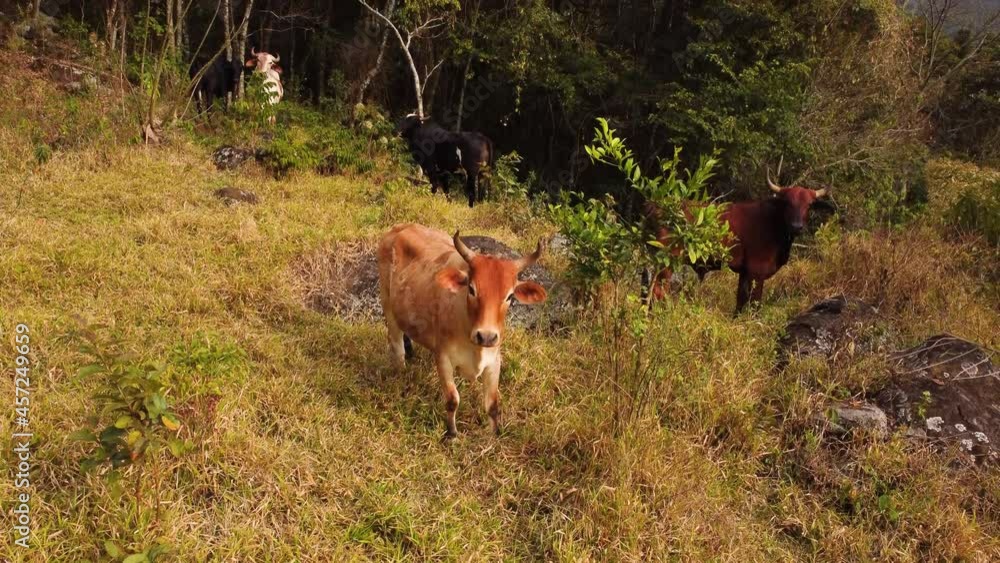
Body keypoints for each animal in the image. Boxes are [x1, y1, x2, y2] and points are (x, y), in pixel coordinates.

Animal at [377, 223, 547, 438]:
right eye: (472, 289)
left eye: (509, 296)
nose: (486, 336)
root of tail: (400, 227)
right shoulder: (443, 358)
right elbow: (452, 400)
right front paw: (451, 434)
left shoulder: (494, 361)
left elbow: (492, 404)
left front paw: (495, 435)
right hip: (388, 306)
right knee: (397, 346)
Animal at [648, 158, 829, 314]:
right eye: (787, 202)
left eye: (809, 205)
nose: (796, 226)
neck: (773, 221)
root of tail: (656, 205)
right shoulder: (757, 271)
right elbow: (755, 303)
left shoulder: (745, 272)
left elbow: (740, 302)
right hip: (667, 262)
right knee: (658, 291)